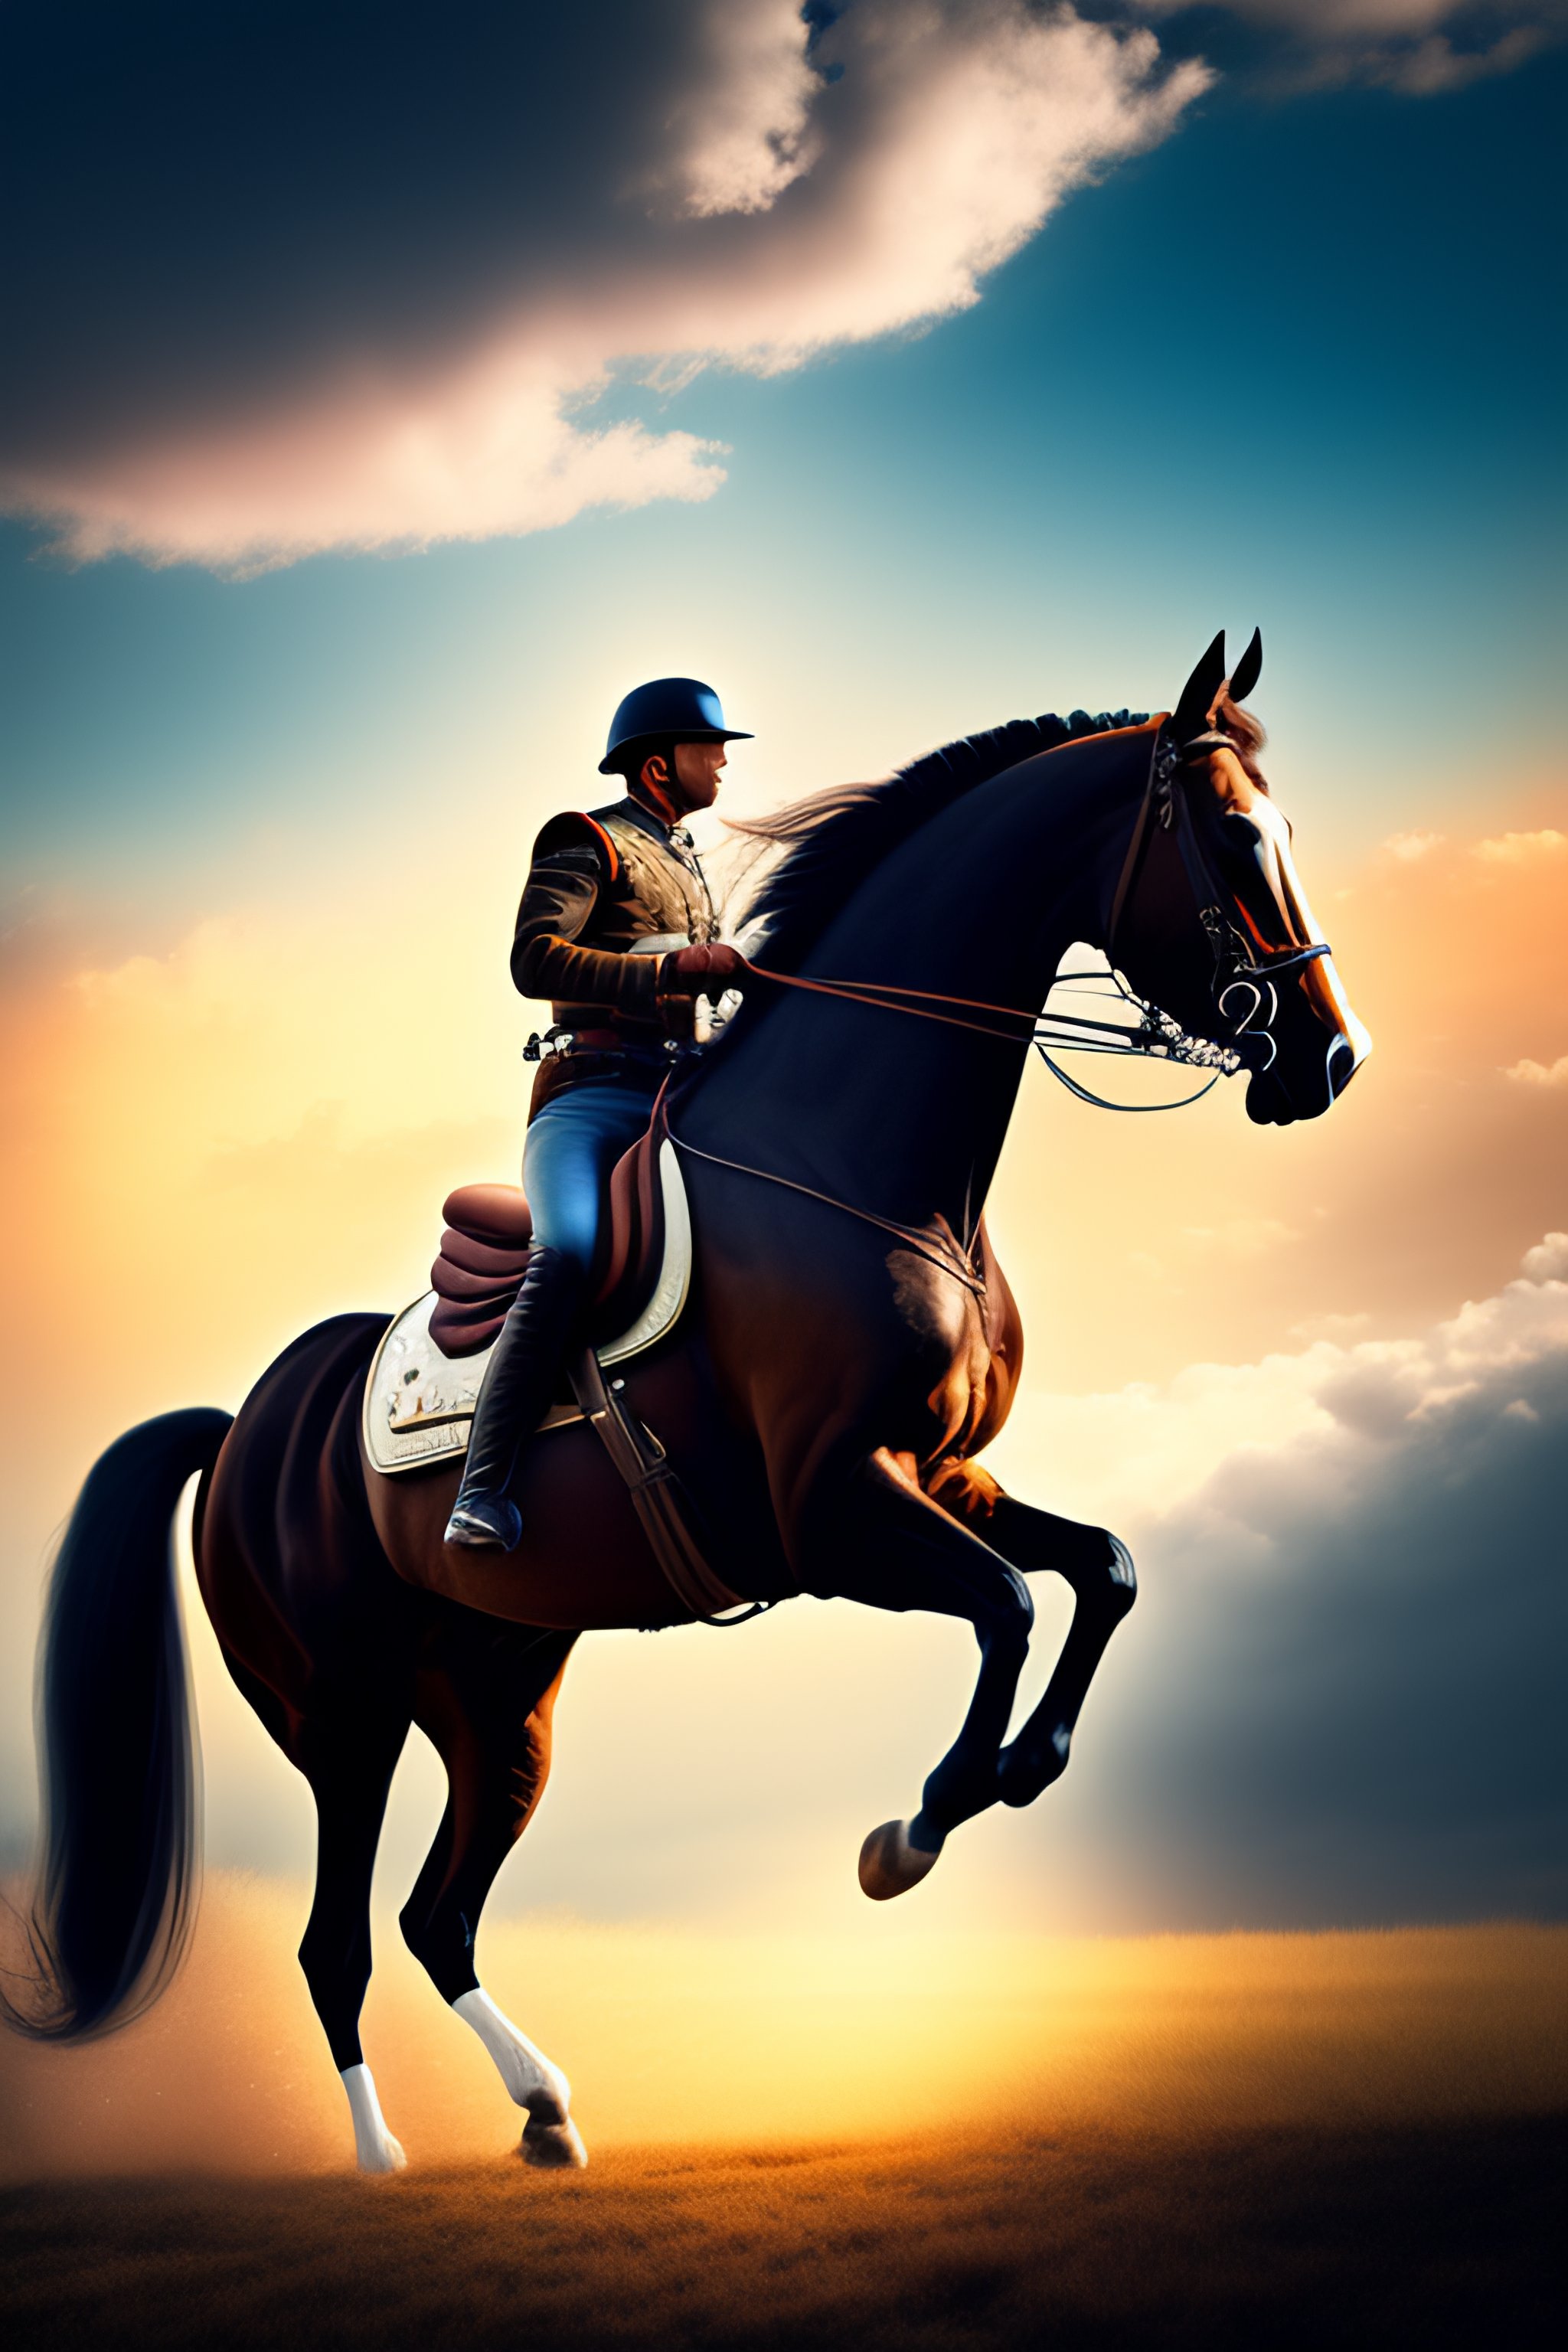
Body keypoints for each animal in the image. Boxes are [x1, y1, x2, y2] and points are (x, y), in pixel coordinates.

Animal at [7, 632, 1370, 2173]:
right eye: (1235, 835)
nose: (1331, 1059)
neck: (859, 1171)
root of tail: (243, 1430)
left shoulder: (940, 1478)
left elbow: (1106, 1573)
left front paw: (1018, 1770)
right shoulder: (831, 1516)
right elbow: (1014, 1606)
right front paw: (913, 1832)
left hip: (501, 1696)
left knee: (434, 1917)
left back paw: (546, 2111)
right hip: (340, 1713)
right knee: (333, 1942)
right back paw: (380, 2159)